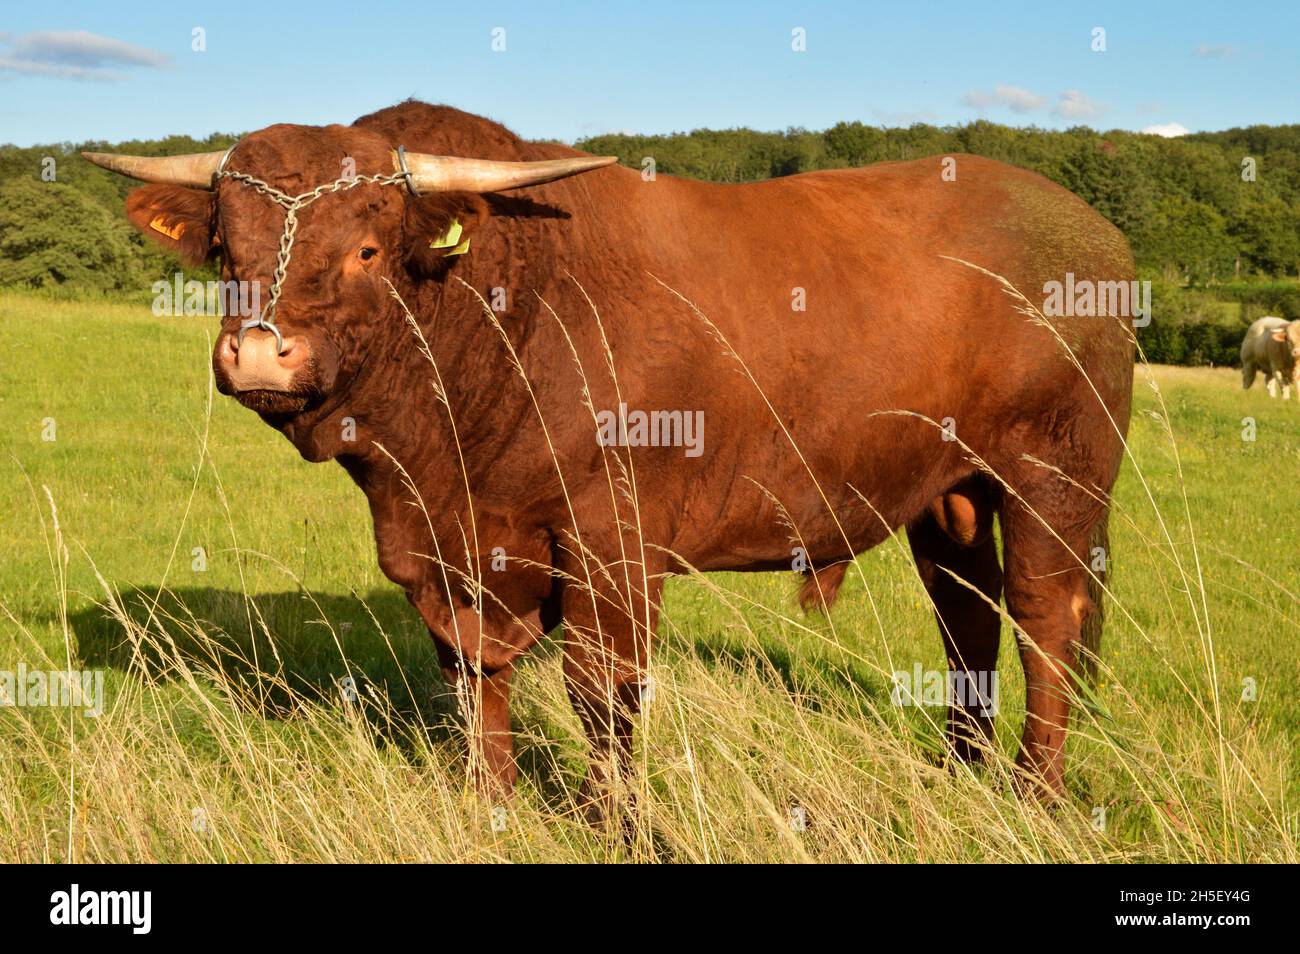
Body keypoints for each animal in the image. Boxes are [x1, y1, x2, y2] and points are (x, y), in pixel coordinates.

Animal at [83, 101, 1135, 814]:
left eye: (369, 249)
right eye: (227, 248)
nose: (260, 352)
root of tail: (1088, 226)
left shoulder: (611, 542)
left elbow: (603, 691)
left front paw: (611, 821)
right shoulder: (451, 550)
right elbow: (473, 677)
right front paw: (491, 804)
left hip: (1056, 480)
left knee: (1045, 619)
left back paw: (1035, 794)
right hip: (948, 497)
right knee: (968, 617)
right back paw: (959, 770)